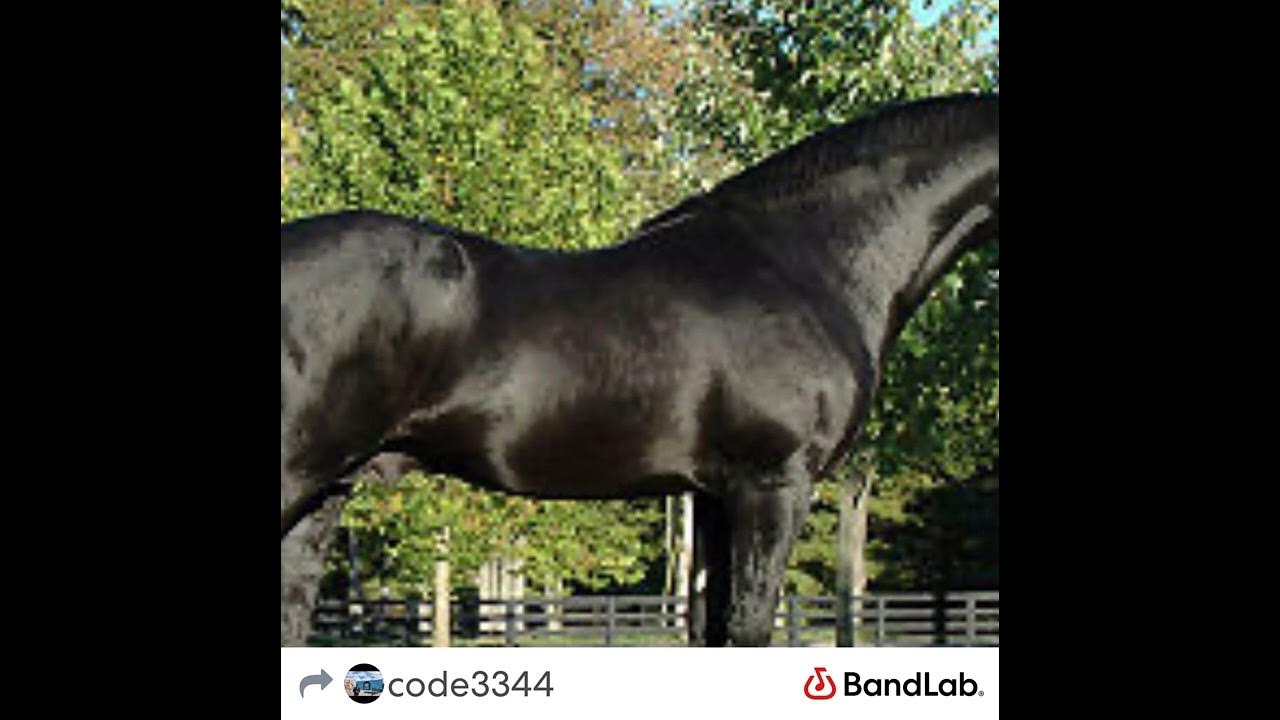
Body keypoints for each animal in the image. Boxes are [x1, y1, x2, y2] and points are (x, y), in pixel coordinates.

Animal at [280, 93, 999, 646]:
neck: (806, 260)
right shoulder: (774, 483)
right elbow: (749, 628)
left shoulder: (715, 494)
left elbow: (712, 629)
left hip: (324, 492)